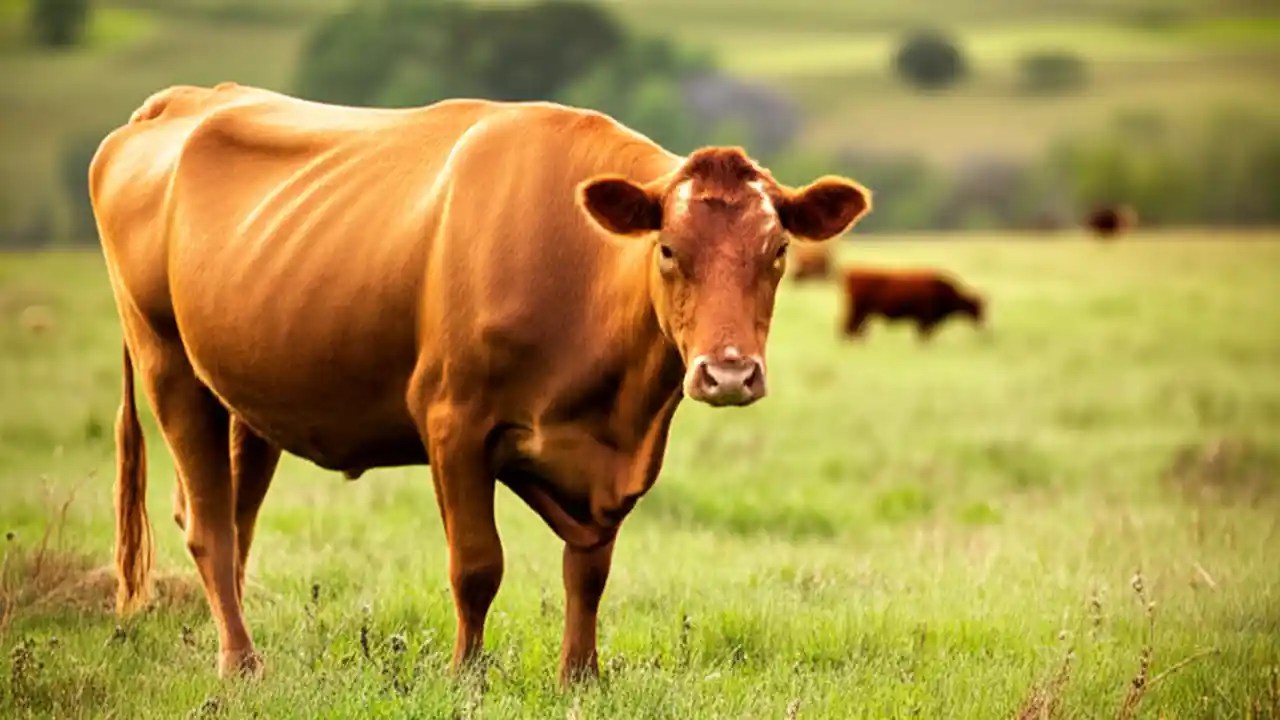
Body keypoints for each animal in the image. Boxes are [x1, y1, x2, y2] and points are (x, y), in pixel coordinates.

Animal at [89, 82, 871, 683]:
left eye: (778, 249)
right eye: (669, 249)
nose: (728, 371)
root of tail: (183, 100)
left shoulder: (614, 459)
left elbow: (589, 572)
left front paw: (580, 678)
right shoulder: (454, 423)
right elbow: (477, 565)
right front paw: (467, 677)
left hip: (248, 397)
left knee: (233, 519)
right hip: (166, 360)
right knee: (210, 527)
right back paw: (241, 665)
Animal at [840, 268, 984, 341]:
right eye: (977, 307)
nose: (982, 322)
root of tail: (852, 272)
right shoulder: (926, 319)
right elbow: (923, 335)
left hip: (862, 314)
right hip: (857, 312)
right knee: (848, 327)